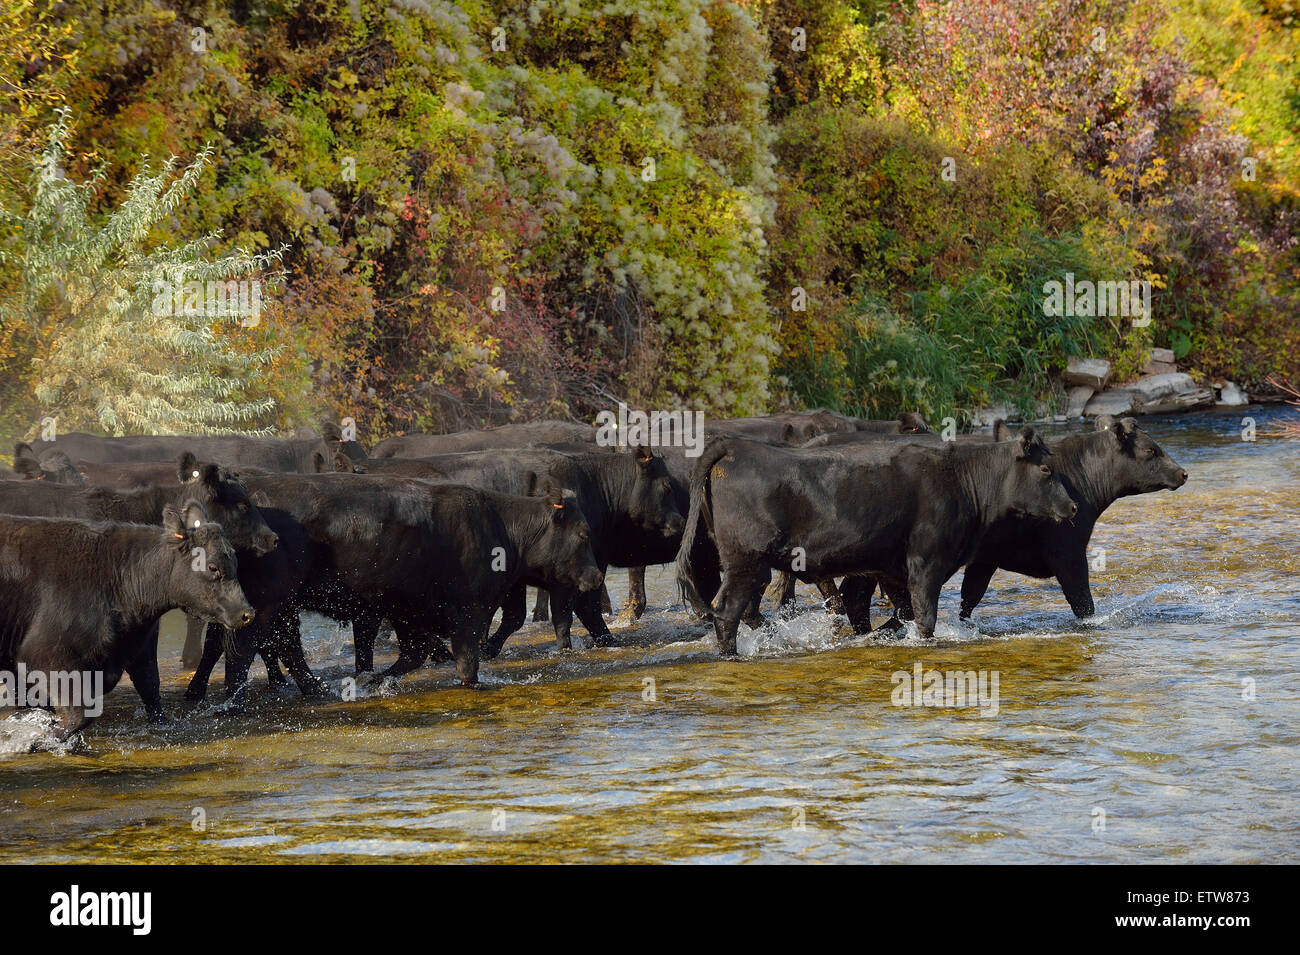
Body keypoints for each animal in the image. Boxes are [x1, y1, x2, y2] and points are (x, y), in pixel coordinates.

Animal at [0, 502, 254, 738]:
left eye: (236, 563)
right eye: (213, 567)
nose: (247, 613)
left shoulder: (141, 645)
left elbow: (151, 688)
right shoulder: (45, 653)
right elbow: (78, 714)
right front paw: (37, 739)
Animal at [676, 428, 1077, 651]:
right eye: (1046, 469)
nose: (1072, 506)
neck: (962, 478)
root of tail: (734, 446)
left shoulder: (889, 567)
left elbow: (897, 612)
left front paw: (872, 637)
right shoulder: (926, 563)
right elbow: (924, 617)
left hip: (753, 565)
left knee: (748, 610)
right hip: (745, 560)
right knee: (727, 610)